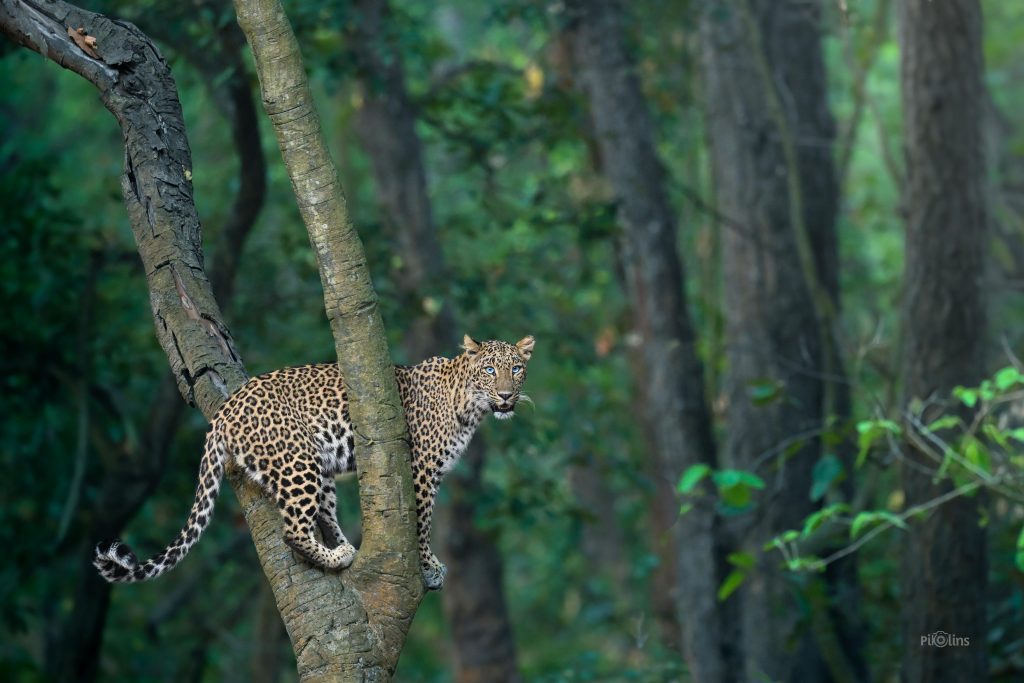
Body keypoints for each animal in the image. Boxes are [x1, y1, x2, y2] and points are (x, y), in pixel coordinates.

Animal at [94, 334, 534, 590]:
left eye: (516, 369)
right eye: (489, 369)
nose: (507, 395)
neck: (470, 405)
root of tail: (224, 411)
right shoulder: (422, 470)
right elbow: (422, 523)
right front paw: (428, 567)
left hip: (319, 463)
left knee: (321, 513)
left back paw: (344, 548)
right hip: (298, 458)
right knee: (293, 531)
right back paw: (337, 556)